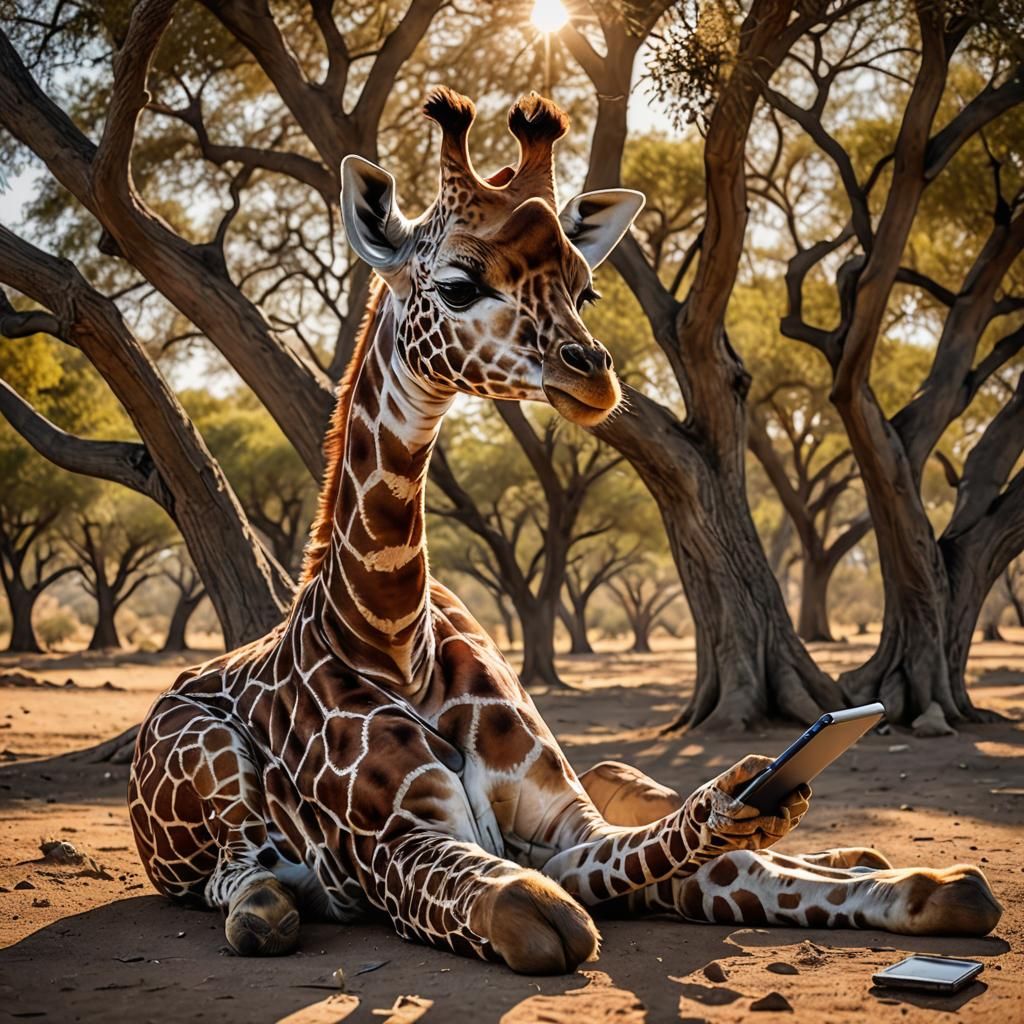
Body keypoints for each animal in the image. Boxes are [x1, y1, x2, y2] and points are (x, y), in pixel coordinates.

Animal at [128, 89, 1002, 972]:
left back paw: (852, 848)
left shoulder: (562, 824)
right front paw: (743, 802)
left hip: (602, 765)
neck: (392, 634)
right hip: (205, 757)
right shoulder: (394, 848)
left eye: (585, 291)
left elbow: (746, 868)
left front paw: (897, 866)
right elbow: (536, 909)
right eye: (457, 283)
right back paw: (265, 906)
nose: (595, 376)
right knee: (237, 872)